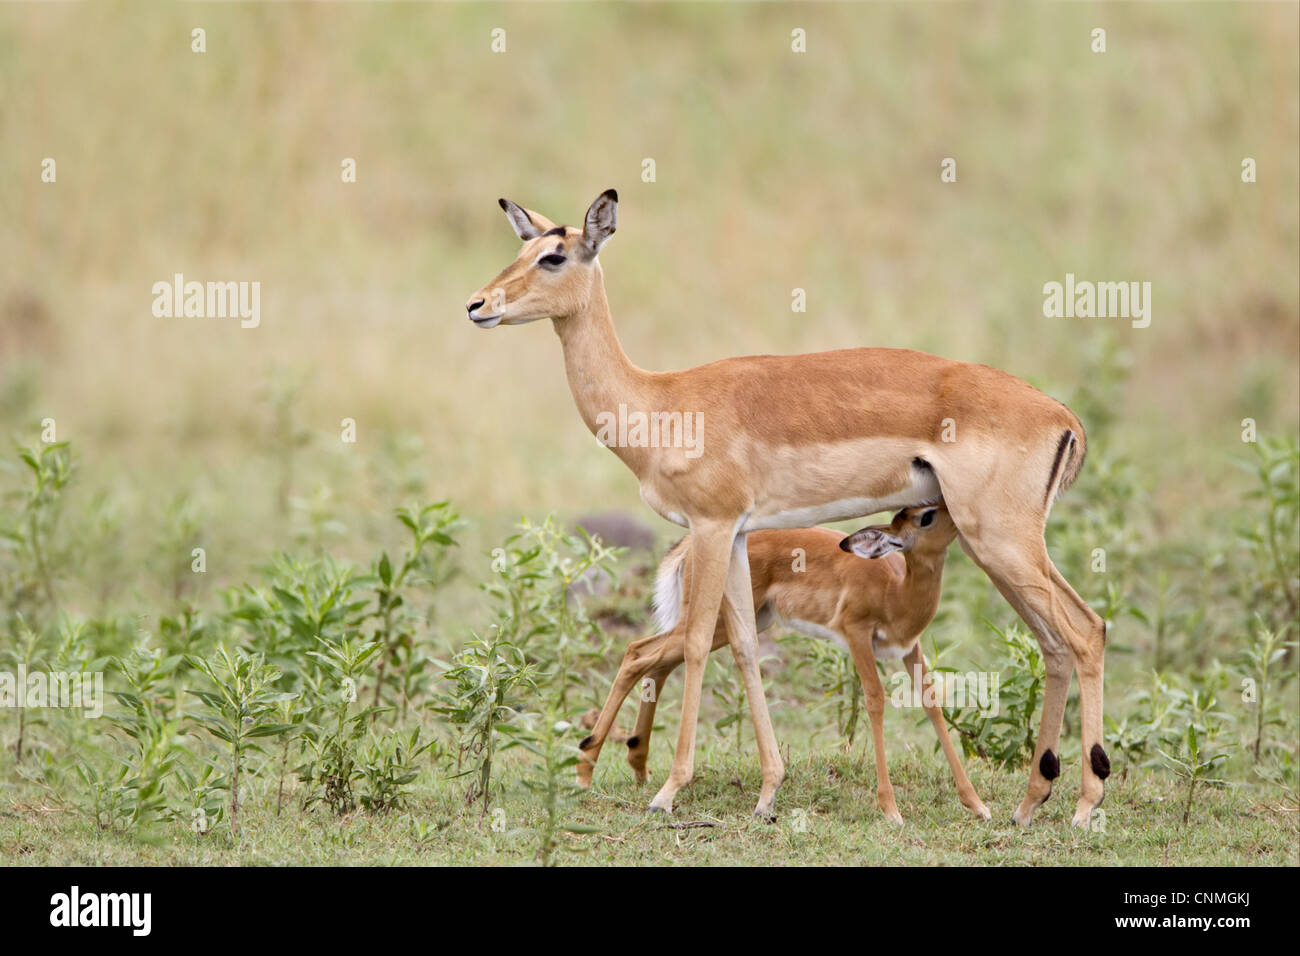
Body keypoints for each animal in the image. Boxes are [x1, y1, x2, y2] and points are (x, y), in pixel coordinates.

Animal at [576, 503, 992, 823]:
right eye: (926, 516)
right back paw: (589, 769)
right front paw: (891, 811)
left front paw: (976, 804)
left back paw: (636, 764)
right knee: (637, 653)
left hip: (734, 626)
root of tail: (687, 548)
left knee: (654, 661)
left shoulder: (909, 648)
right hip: (713, 624)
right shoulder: (857, 635)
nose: (961, 513)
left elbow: (932, 704)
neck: (896, 590)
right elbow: (875, 700)